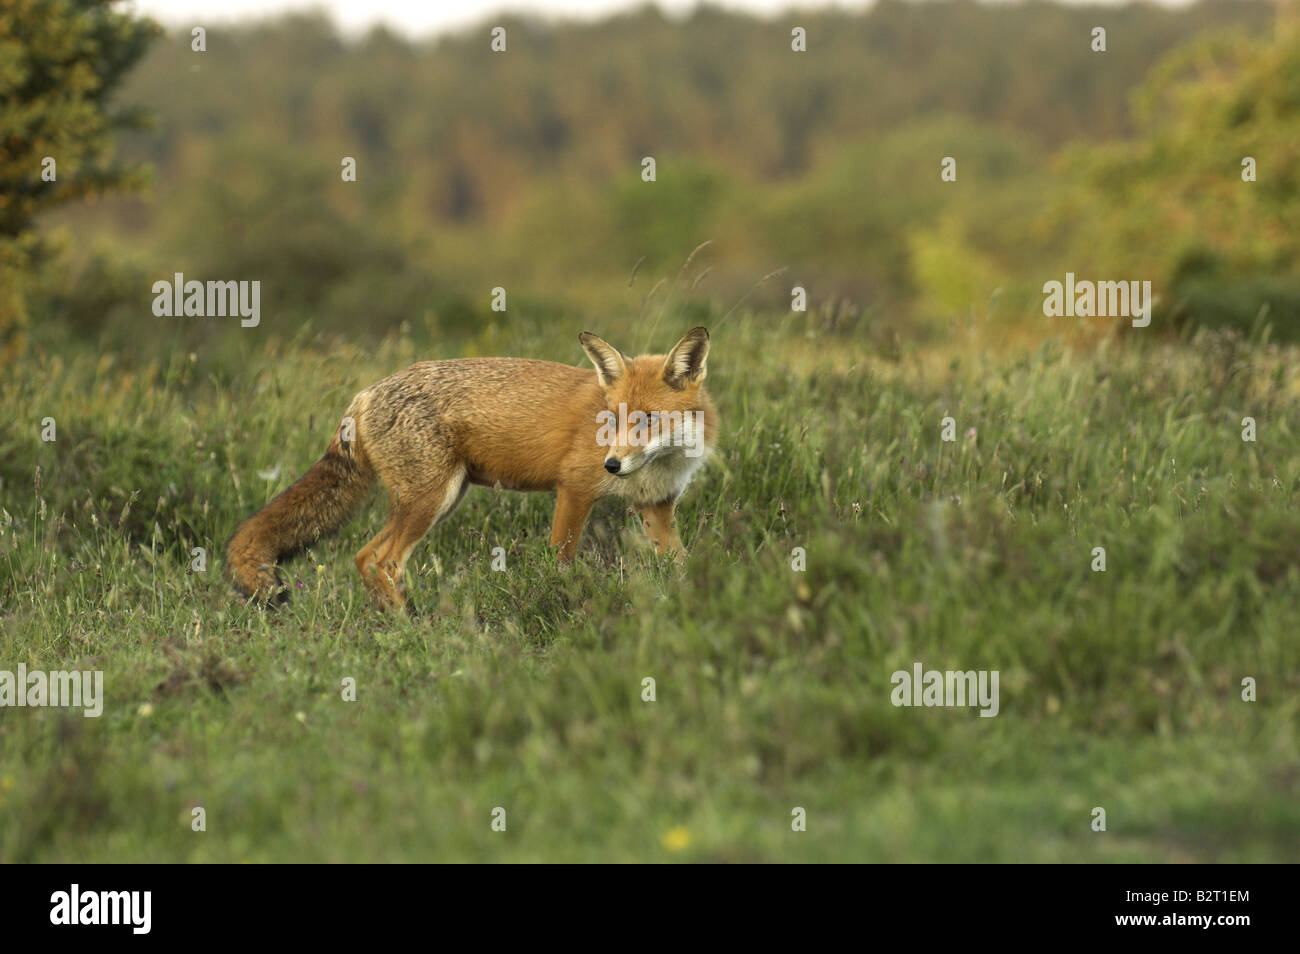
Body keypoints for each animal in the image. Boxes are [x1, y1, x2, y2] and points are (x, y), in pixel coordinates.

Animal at [224, 326, 718, 611]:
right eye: (610, 420)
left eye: (647, 420)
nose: (611, 464)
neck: (660, 465)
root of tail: (365, 394)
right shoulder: (574, 490)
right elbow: (560, 563)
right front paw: (561, 603)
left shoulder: (657, 506)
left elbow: (679, 563)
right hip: (429, 500)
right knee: (384, 562)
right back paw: (414, 631)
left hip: (440, 500)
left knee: (364, 558)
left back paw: (396, 623)